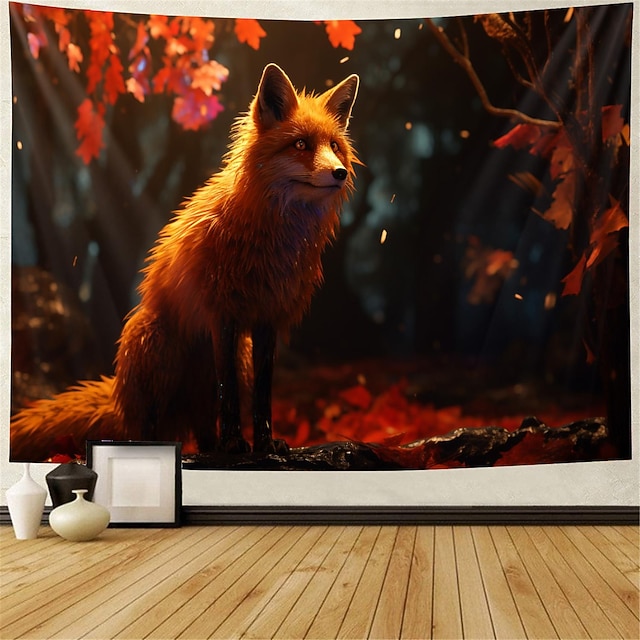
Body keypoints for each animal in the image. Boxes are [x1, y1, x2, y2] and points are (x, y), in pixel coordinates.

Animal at [10, 63, 359, 461]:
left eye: (335, 146)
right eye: (301, 144)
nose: (339, 173)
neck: (271, 239)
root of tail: (118, 399)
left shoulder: (268, 318)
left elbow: (262, 396)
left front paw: (265, 445)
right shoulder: (221, 314)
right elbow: (228, 395)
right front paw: (234, 444)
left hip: (227, 361)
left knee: (202, 426)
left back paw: (209, 448)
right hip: (155, 349)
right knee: (145, 429)